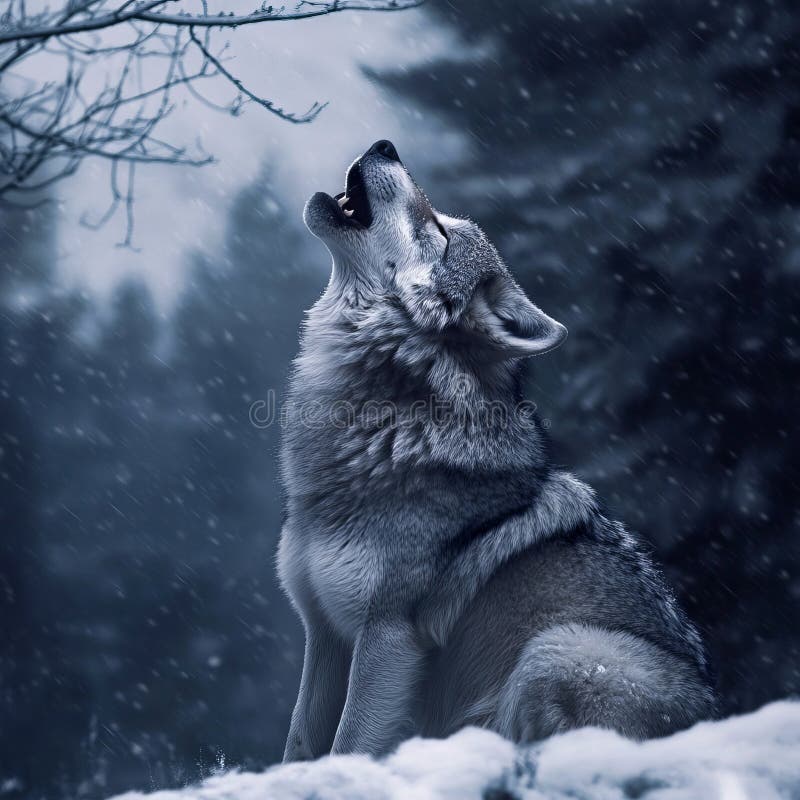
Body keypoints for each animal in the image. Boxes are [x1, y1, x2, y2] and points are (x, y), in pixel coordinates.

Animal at [277, 140, 715, 761]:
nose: (386, 145)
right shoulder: (324, 634)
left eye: (439, 231)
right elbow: (297, 744)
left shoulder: (387, 637)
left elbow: (349, 744)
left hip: (558, 648)